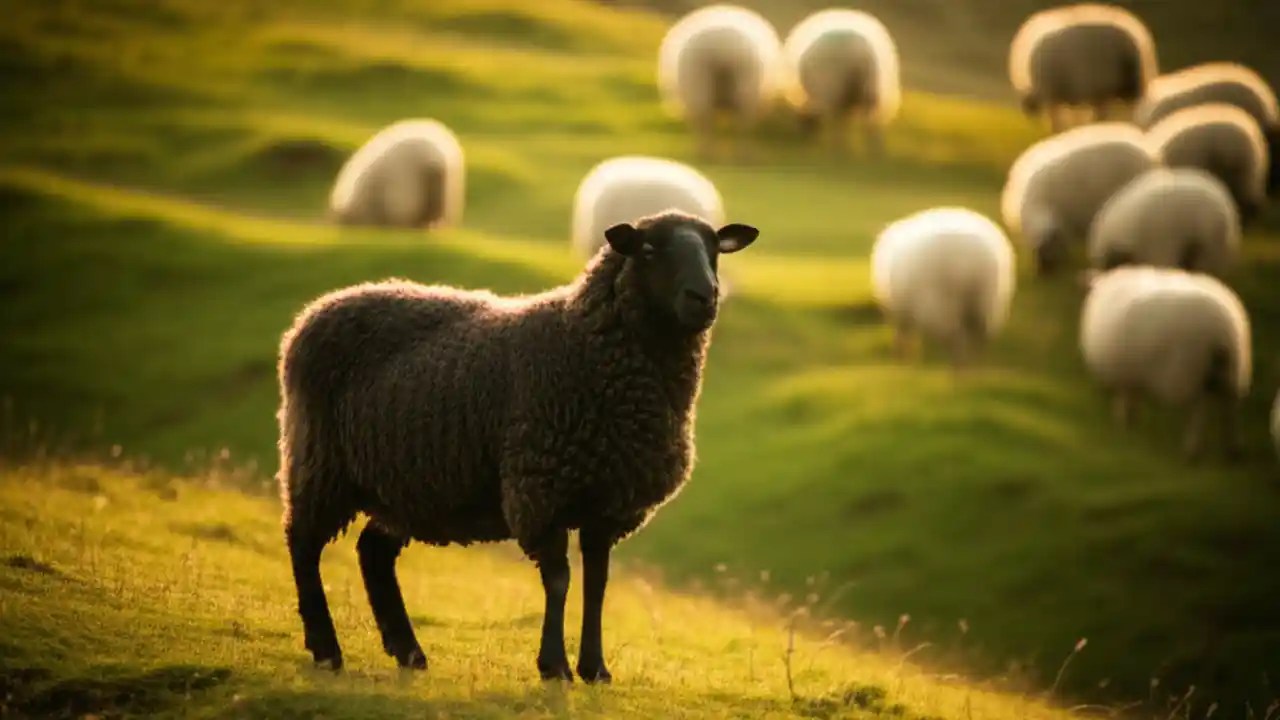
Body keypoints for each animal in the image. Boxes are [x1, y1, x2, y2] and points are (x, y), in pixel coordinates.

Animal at [277, 210, 759, 681]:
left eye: (715, 250)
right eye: (649, 249)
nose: (704, 297)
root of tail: (314, 311)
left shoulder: (606, 503)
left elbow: (597, 585)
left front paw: (595, 669)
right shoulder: (540, 491)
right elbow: (559, 580)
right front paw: (555, 666)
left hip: (406, 487)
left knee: (374, 552)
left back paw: (408, 651)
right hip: (319, 460)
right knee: (303, 543)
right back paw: (326, 648)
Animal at [658, 4, 783, 159]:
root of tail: (722, 48)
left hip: (700, 88)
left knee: (709, 123)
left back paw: (708, 152)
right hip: (743, 90)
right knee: (737, 125)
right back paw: (737, 153)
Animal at [781, 9, 900, 154]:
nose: (804, 138)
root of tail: (860, 52)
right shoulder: (846, 101)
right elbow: (844, 122)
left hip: (837, 88)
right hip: (871, 89)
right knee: (872, 123)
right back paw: (875, 150)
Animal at [871, 207, 1016, 366]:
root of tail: (967, 259)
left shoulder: (901, 311)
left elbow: (902, 334)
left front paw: (903, 358)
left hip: (940, 304)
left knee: (956, 338)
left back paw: (959, 365)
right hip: (986, 302)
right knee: (980, 336)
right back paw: (976, 365)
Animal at [1080, 266, 1251, 461]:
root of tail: (1222, 328)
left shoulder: (1125, 374)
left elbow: (1124, 398)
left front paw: (1123, 422)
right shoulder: (1134, 373)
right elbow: (1133, 397)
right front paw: (1132, 418)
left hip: (1189, 372)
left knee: (1199, 411)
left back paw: (1192, 450)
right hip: (1234, 371)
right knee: (1231, 409)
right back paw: (1233, 450)